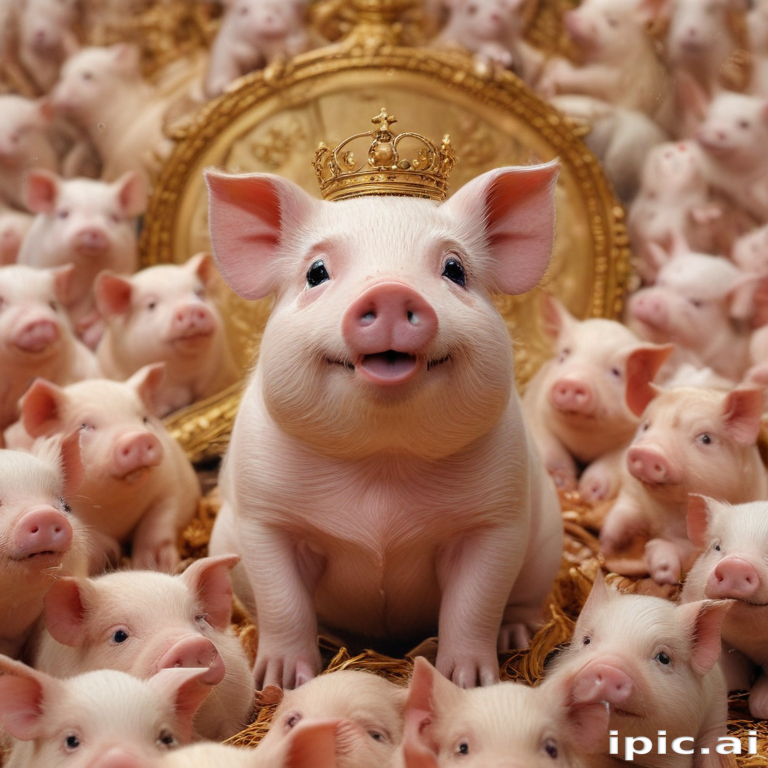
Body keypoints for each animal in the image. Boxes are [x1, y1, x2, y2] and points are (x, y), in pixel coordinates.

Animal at [8, 366, 201, 572]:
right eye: (84, 426)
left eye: (145, 419)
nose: (138, 437)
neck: (115, 508)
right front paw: (113, 553)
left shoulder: (174, 482)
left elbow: (160, 520)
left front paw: (157, 565)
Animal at [17, 170, 145, 330]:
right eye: (64, 214)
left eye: (114, 218)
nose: (93, 229)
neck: (85, 269)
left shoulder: (124, 267)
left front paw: (84, 324)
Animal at [205, 162, 565, 690]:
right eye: (316, 273)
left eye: (455, 270)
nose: (391, 290)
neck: (382, 465)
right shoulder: (262, 516)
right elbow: (283, 601)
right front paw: (280, 683)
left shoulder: (497, 518)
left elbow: (474, 603)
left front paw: (470, 682)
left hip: (545, 546)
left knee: (520, 602)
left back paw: (516, 638)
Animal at [522, 294, 673, 501]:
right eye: (563, 355)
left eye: (616, 372)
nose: (573, 381)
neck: (584, 439)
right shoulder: (534, 412)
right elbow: (550, 449)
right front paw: (562, 482)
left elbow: (611, 463)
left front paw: (589, 494)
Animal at [600, 385, 768, 585]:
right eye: (646, 426)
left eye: (705, 438)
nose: (648, 452)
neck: (666, 512)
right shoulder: (632, 495)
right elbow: (620, 517)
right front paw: (604, 546)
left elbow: (681, 548)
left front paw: (662, 567)